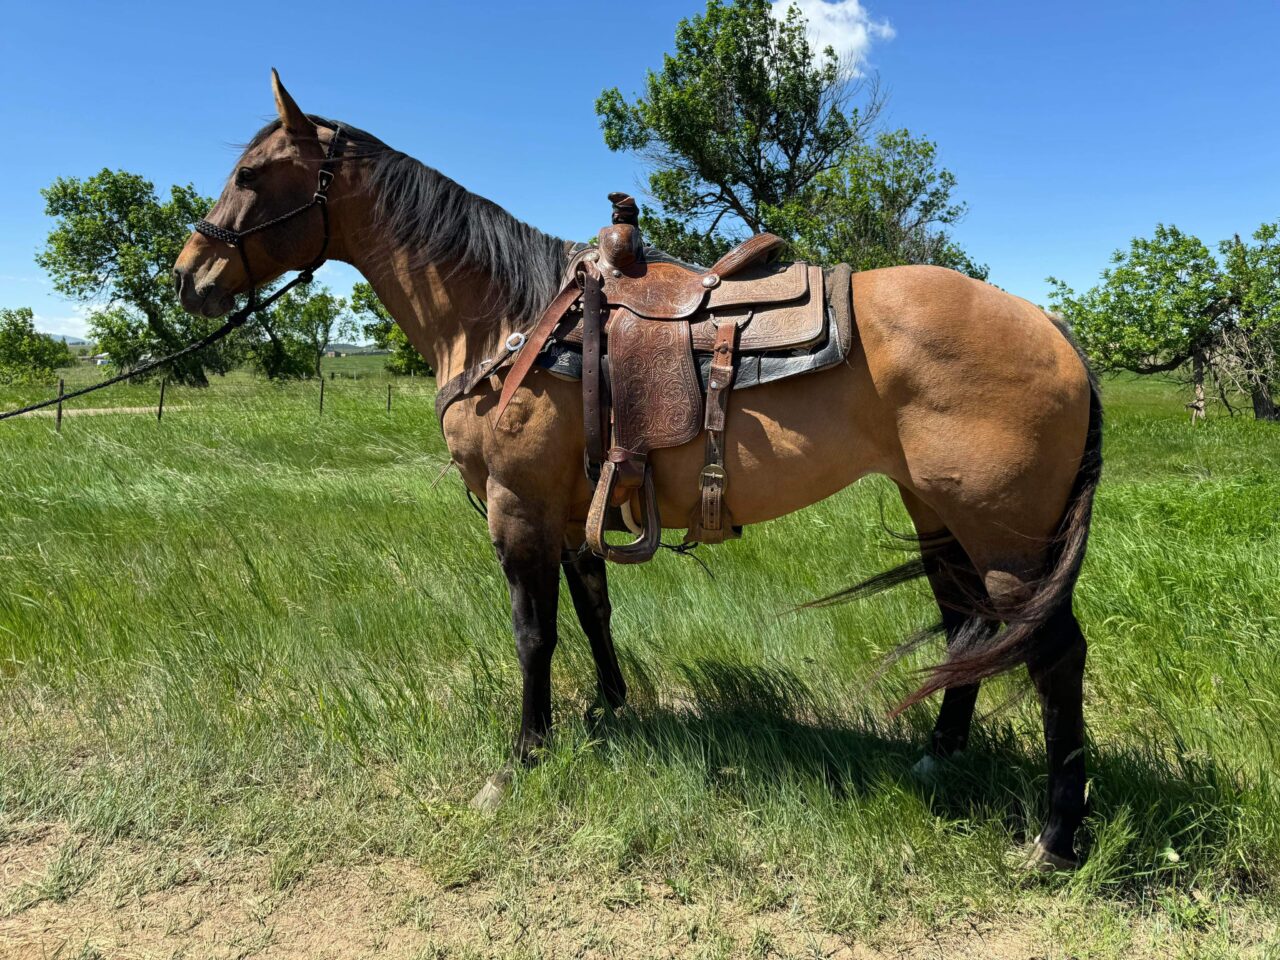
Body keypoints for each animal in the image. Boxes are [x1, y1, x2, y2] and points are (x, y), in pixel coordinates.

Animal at [174, 72, 1102, 871]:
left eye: (251, 175)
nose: (190, 276)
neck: (509, 319)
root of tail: (1053, 329)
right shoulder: (569, 513)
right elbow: (593, 612)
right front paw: (607, 709)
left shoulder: (516, 511)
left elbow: (533, 634)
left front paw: (522, 755)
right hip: (937, 515)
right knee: (965, 626)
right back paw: (938, 759)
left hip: (1006, 540)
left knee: (1054, 657)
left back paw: (1057, 839)